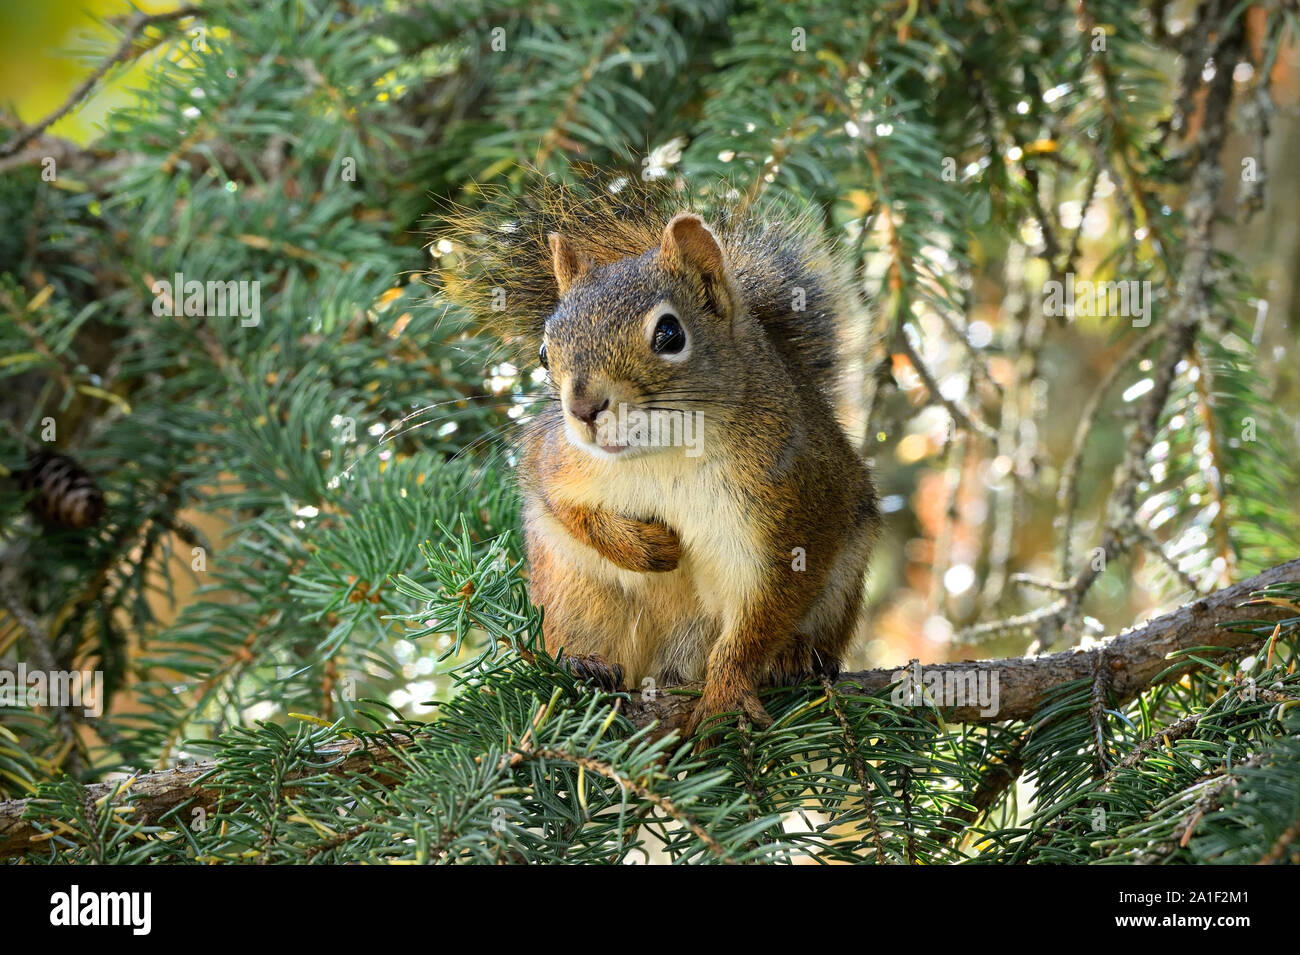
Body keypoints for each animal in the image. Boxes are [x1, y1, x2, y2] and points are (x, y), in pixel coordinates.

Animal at [439, 172, 879, 743]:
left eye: (669, 334)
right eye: (544, 352)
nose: (583, 410)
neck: (664, 455)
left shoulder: (794, 513)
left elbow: (757, 625)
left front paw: (726, 699)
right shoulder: (553, 462)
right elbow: (565, 507)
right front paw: (651, 548)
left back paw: (796, 657)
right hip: (574, 595)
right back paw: (584, 666)